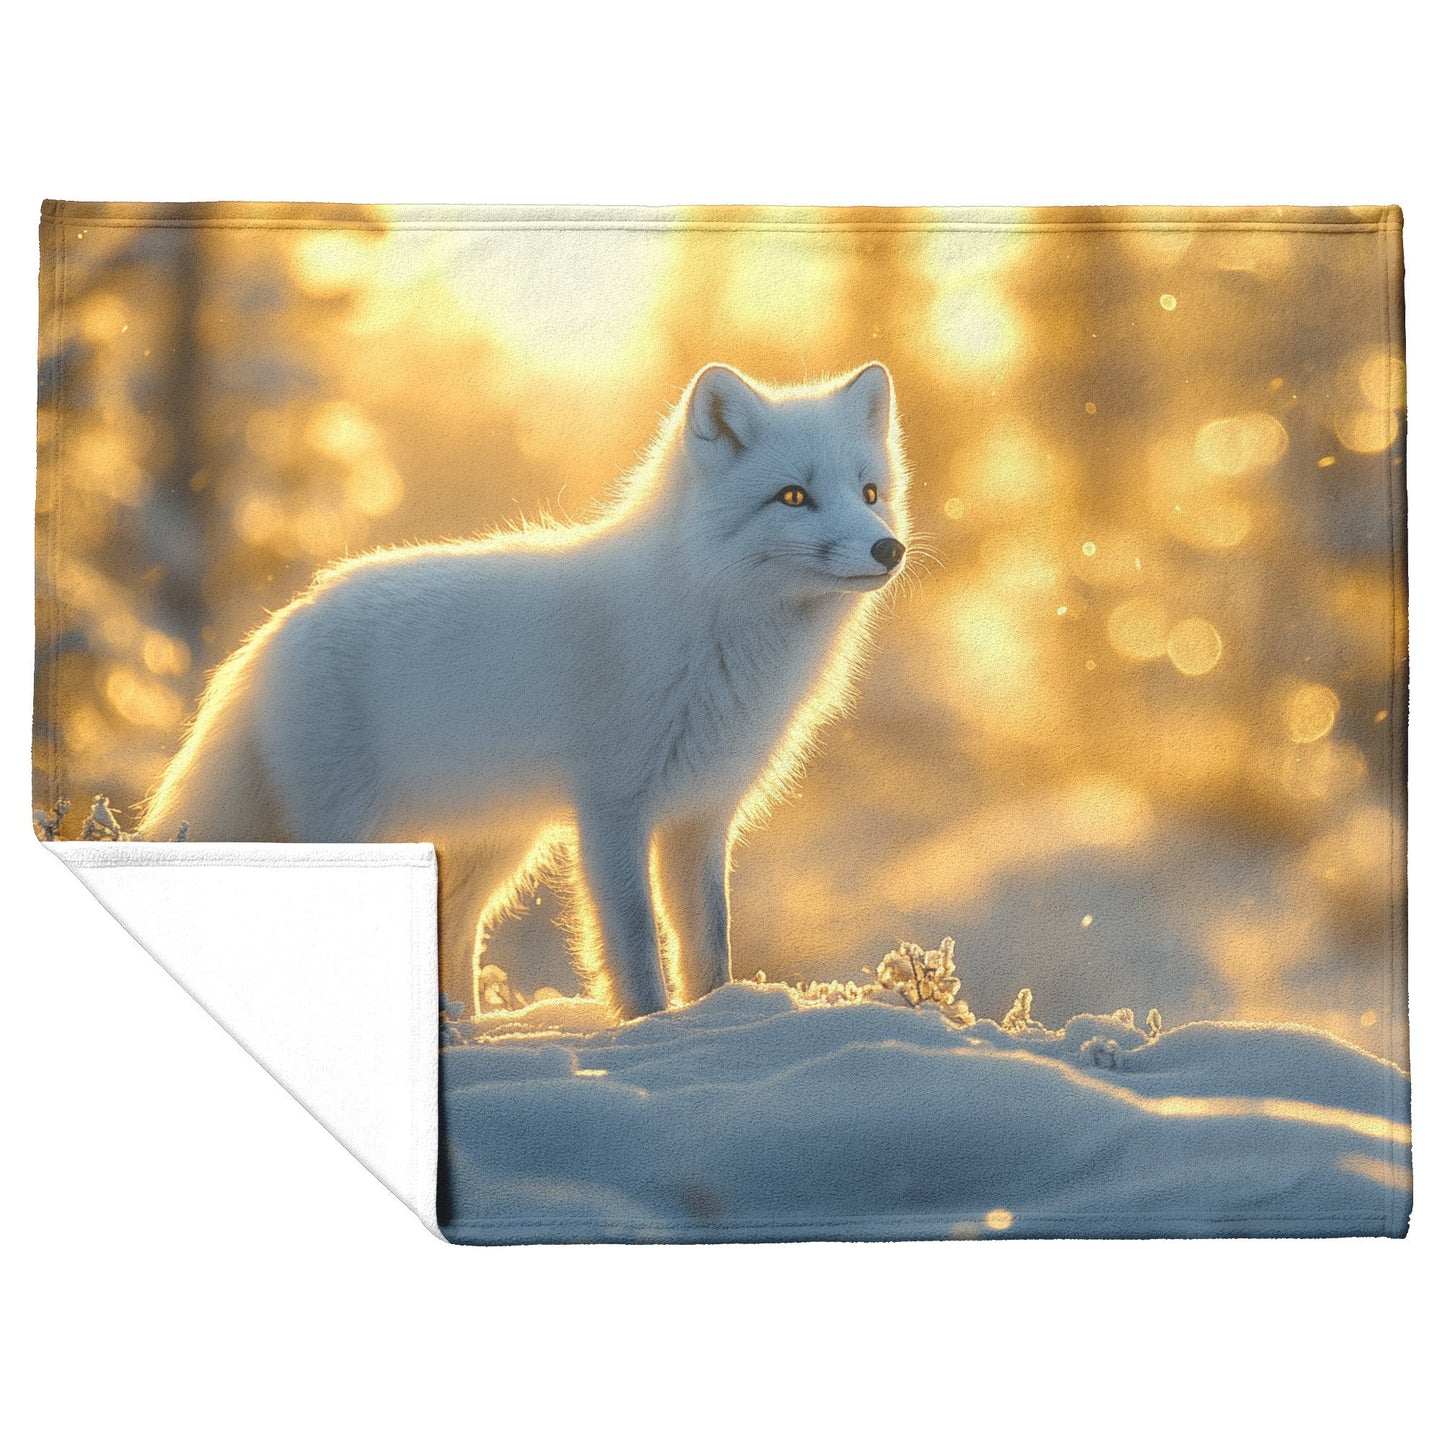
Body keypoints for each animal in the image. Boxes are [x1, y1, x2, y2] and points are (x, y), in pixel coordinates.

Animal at [140, 362, 912, 1019]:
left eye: (870, 494)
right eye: (794, 496)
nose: (888, 549)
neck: (714, 625)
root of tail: (271, 635)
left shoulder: (701, 814)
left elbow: (708, 950)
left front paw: (716, 1024)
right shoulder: (612, 811)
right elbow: (635, 948)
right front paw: (650, 1030)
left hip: (495, 843)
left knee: (453, 931)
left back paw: (465, 1029)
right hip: (359, 833)